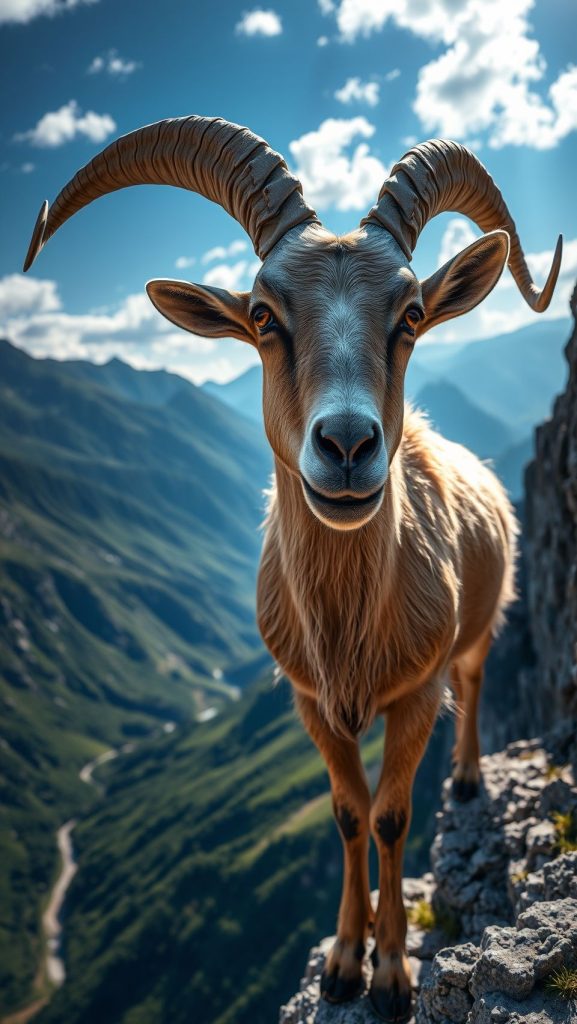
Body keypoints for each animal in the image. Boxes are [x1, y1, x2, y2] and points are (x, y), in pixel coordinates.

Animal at [24, 117, 562, 1022]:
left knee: (477, 677)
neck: (348, 622)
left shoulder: (414, 693)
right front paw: (344, 961)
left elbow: (391, 816)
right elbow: (347, 814)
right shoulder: (311, 699)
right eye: (262, 314)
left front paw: (391, 973)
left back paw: (463, 781)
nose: (346, 444)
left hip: (483, 623)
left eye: (411, 313)